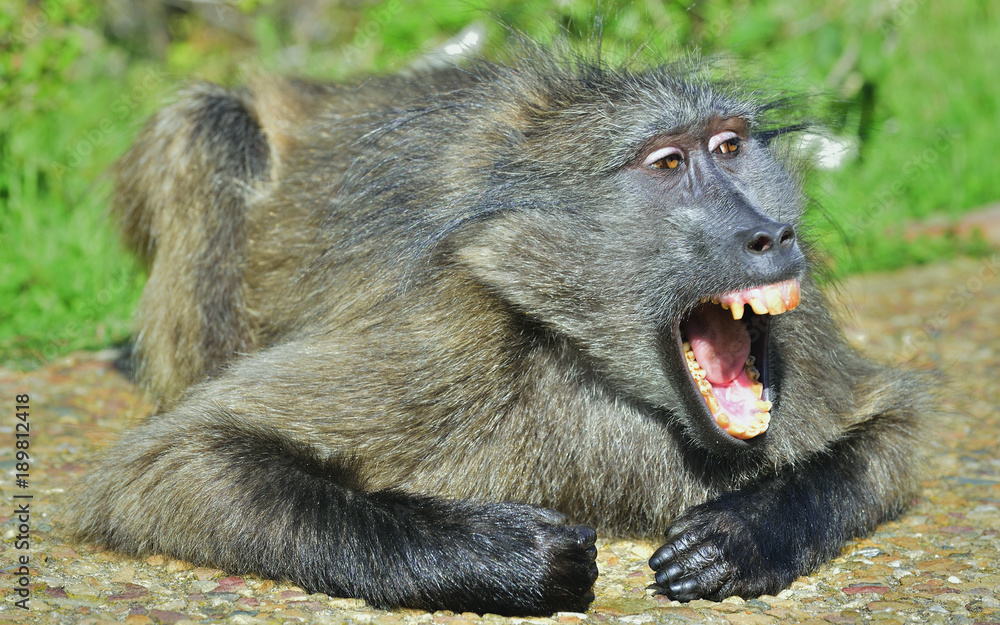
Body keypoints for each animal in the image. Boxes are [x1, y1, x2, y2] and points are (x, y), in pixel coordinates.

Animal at [66, 47, 927, 617]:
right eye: (667, 164)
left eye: (728, 146)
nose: (773, 235)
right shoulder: (442, 337)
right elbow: (178, 463)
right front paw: (509, 556)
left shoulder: (800, 342)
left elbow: (887, 433)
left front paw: (737, 535)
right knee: (213, 126)